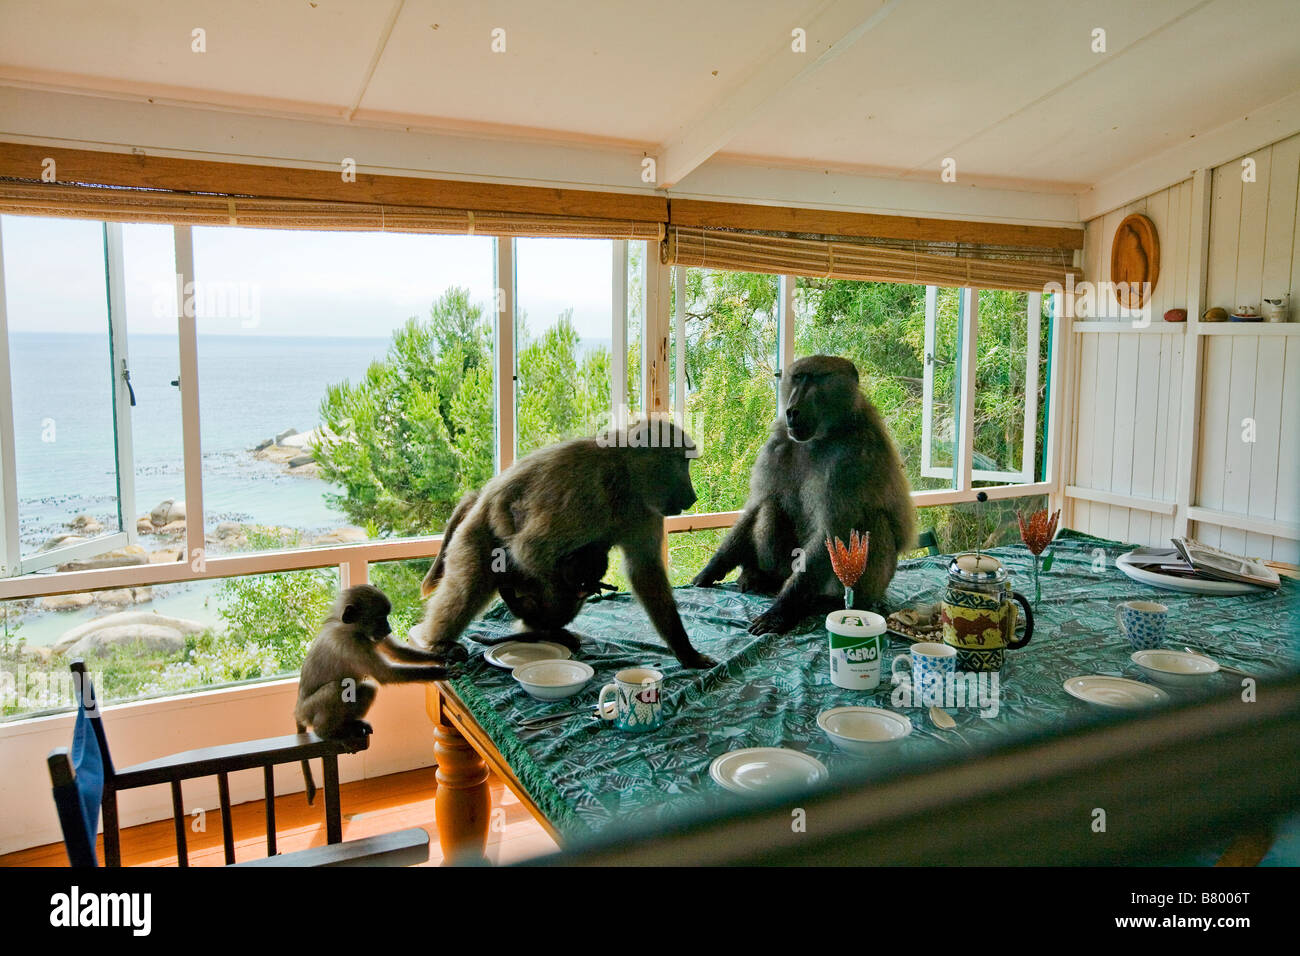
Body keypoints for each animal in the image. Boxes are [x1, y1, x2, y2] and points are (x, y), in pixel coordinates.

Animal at [294, 584, 454, 804]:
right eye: (379, 618)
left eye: (386, 616)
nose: (388, 629)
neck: (349, 628)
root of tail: (298, 711)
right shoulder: (354, 644)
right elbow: (386, 675)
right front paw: (442, 672)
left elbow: (397, 651)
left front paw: (448, 654)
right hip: (311, 709)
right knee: (342, 688)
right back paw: (326, 732)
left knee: (365, 689)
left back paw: (351, 725)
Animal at [415, 416, 716, 669]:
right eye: (682, 461)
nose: (692, 496)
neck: (626, 476)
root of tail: (482, 496)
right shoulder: (586, 493)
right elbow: (530, 550)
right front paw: (546, 621)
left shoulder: (646, 512)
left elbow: (645, 573)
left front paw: (687, 653)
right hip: (479, 533)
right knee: (472, 585)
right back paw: (444, 642)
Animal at [692, 355, 915, 636]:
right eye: (797, 378)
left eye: (814, 380)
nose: (791, 410)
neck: (824, 435)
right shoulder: (778, 443)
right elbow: (757, 505)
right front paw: (713, 568)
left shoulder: (852, 459)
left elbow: (832, 533)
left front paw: (779, 612)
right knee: (770, 506)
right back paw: (760, 579)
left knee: (871, 525)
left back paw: (831, 601)